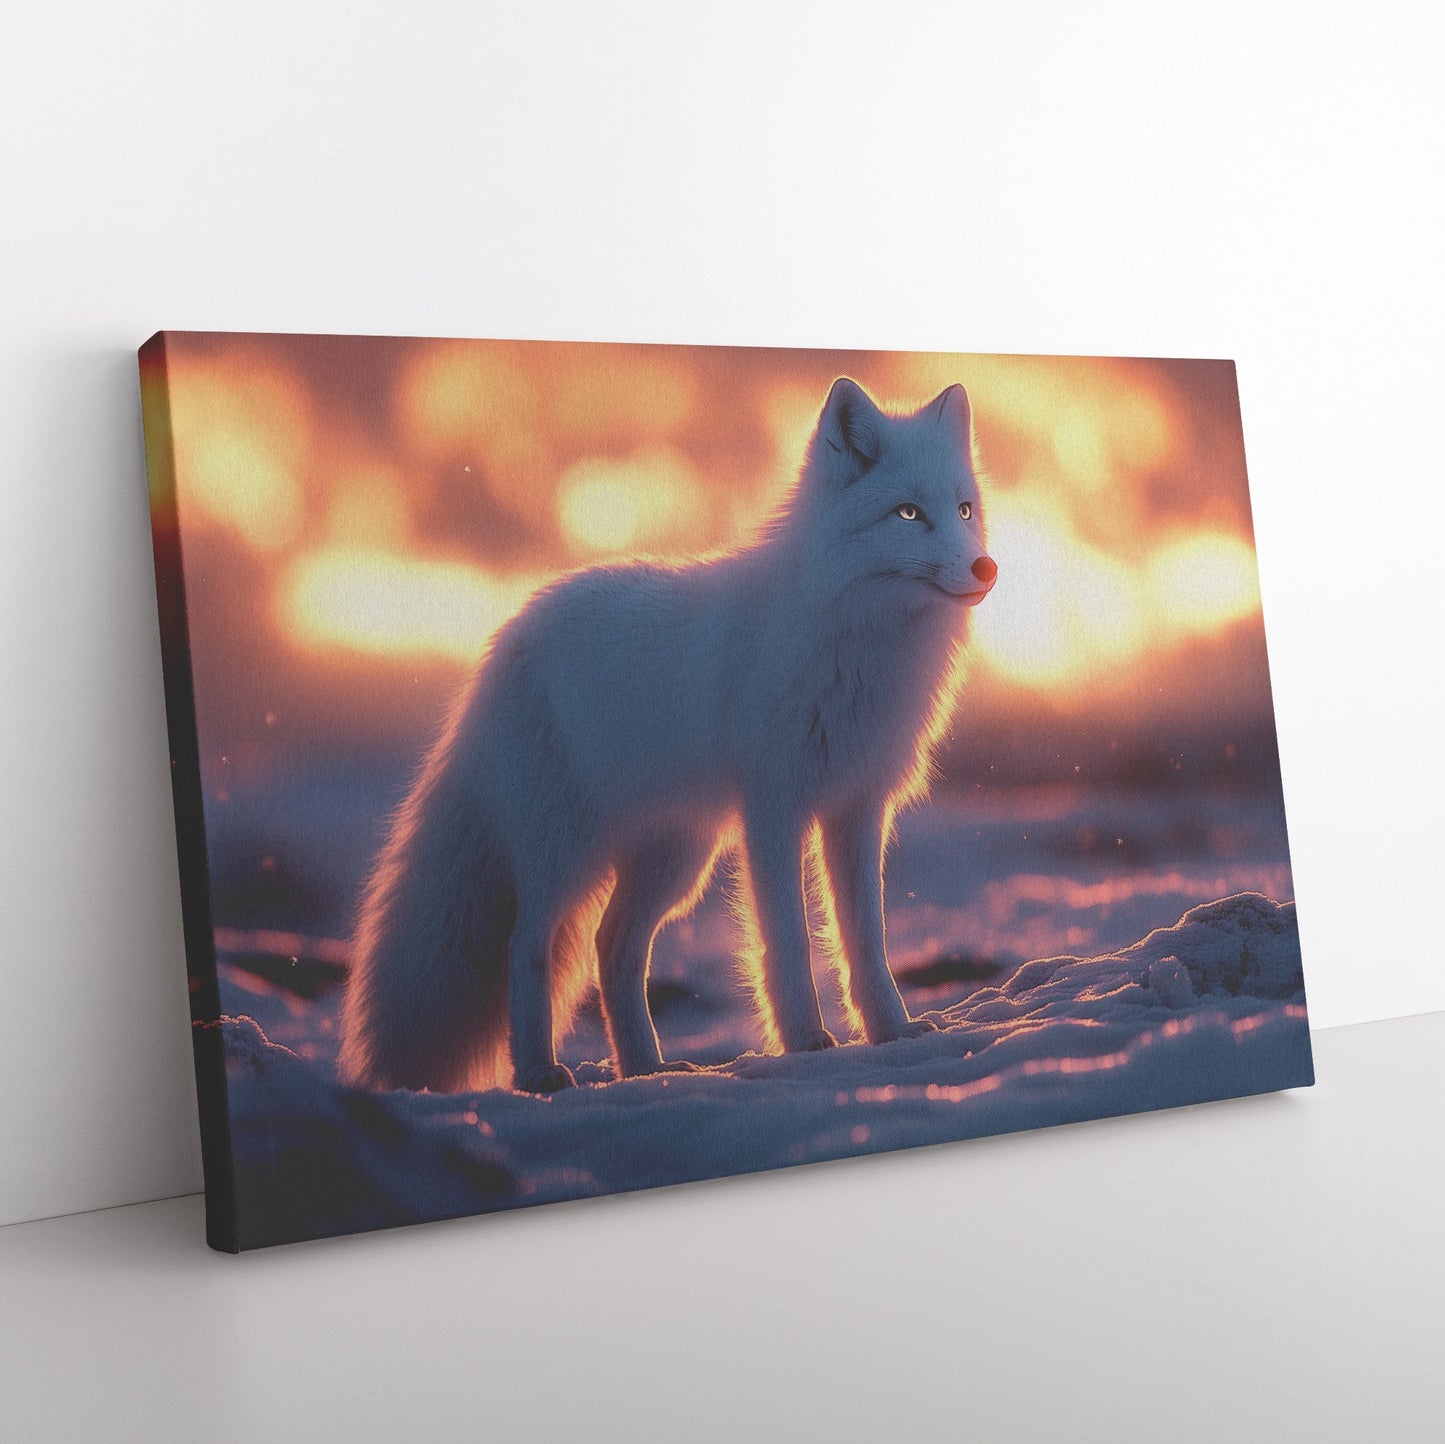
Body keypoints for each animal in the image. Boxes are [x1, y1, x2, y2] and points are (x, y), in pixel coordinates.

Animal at [337, 377, 997, 1095]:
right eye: (908, 514)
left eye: (963, 509)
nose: (985, 567)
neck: (853, 639)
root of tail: (505, 640)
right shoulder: (774, 808)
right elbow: (788, 938)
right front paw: (805, 1042)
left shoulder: (858, 807)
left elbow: (866, 939)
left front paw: (891, 1033)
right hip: (568, 854)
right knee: (526, 944)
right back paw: (539, 1070)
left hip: (676, 858)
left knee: (613, 947)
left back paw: (646, 1069)